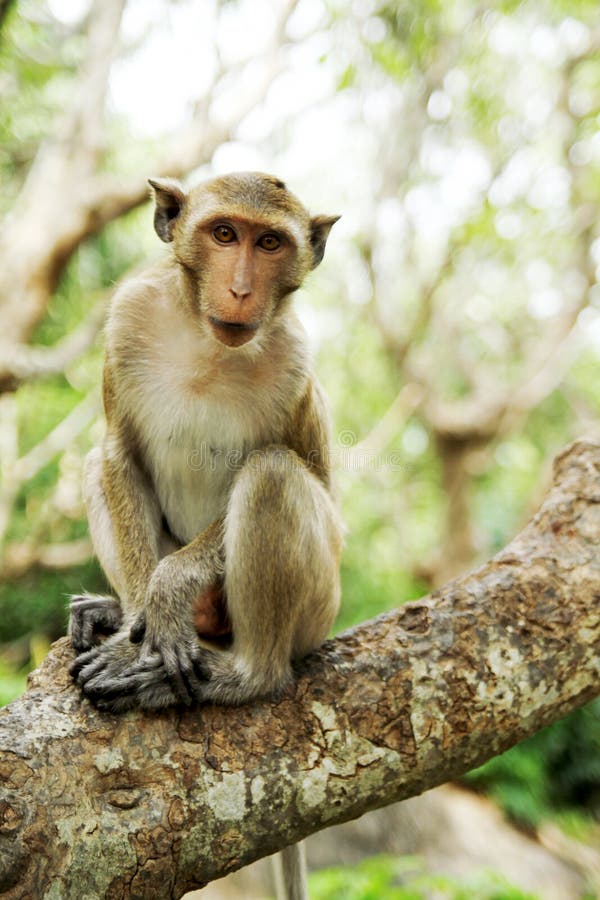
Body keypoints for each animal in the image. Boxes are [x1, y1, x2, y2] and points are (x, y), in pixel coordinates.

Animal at [69, 172, 343, 722]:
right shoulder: (128, 315)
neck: (207, 344)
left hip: (321, 607)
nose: (240, 290)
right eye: (224, 234)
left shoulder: (295, 360)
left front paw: (169, 590)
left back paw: (243, 675)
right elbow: (119, 453)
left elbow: (305, 472)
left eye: (269, 243)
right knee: (94, 463)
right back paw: (119, 614)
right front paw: (136, 622)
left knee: (273, 472)